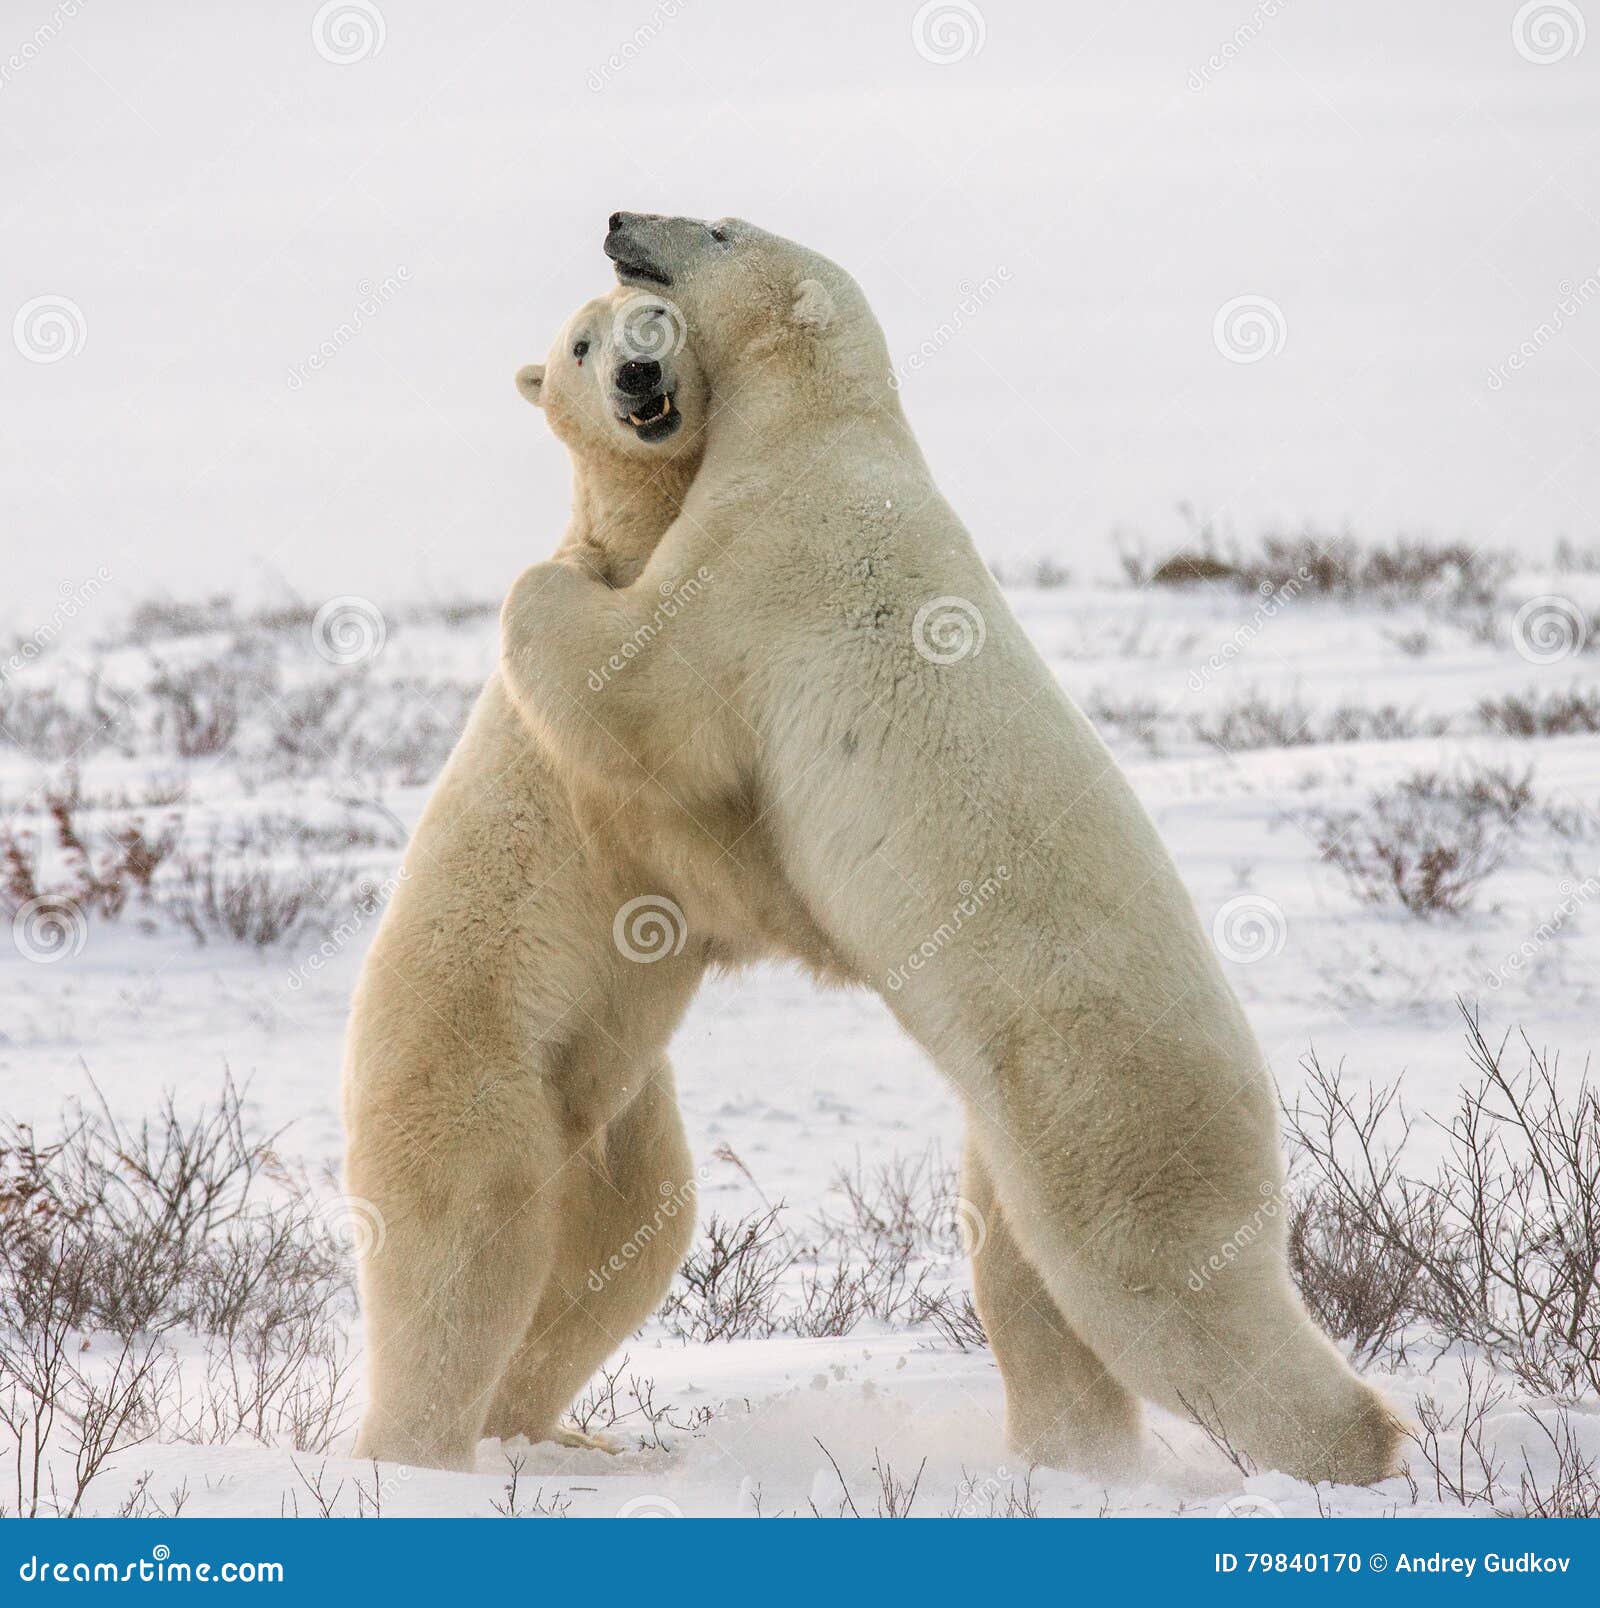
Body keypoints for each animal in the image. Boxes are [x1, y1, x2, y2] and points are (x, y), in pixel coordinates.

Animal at [497, 213, 1403, 1485]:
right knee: (1026, 1283)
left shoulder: (763, 562)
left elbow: (644, 687)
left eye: (714, 225)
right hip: (1015, 1144)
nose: (622, 218)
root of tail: (1256, 1086)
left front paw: (547, 579)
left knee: (1165, 1301)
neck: (829, 433)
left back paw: (1351, 1448)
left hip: (1106, 1110)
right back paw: (1064, 1459)